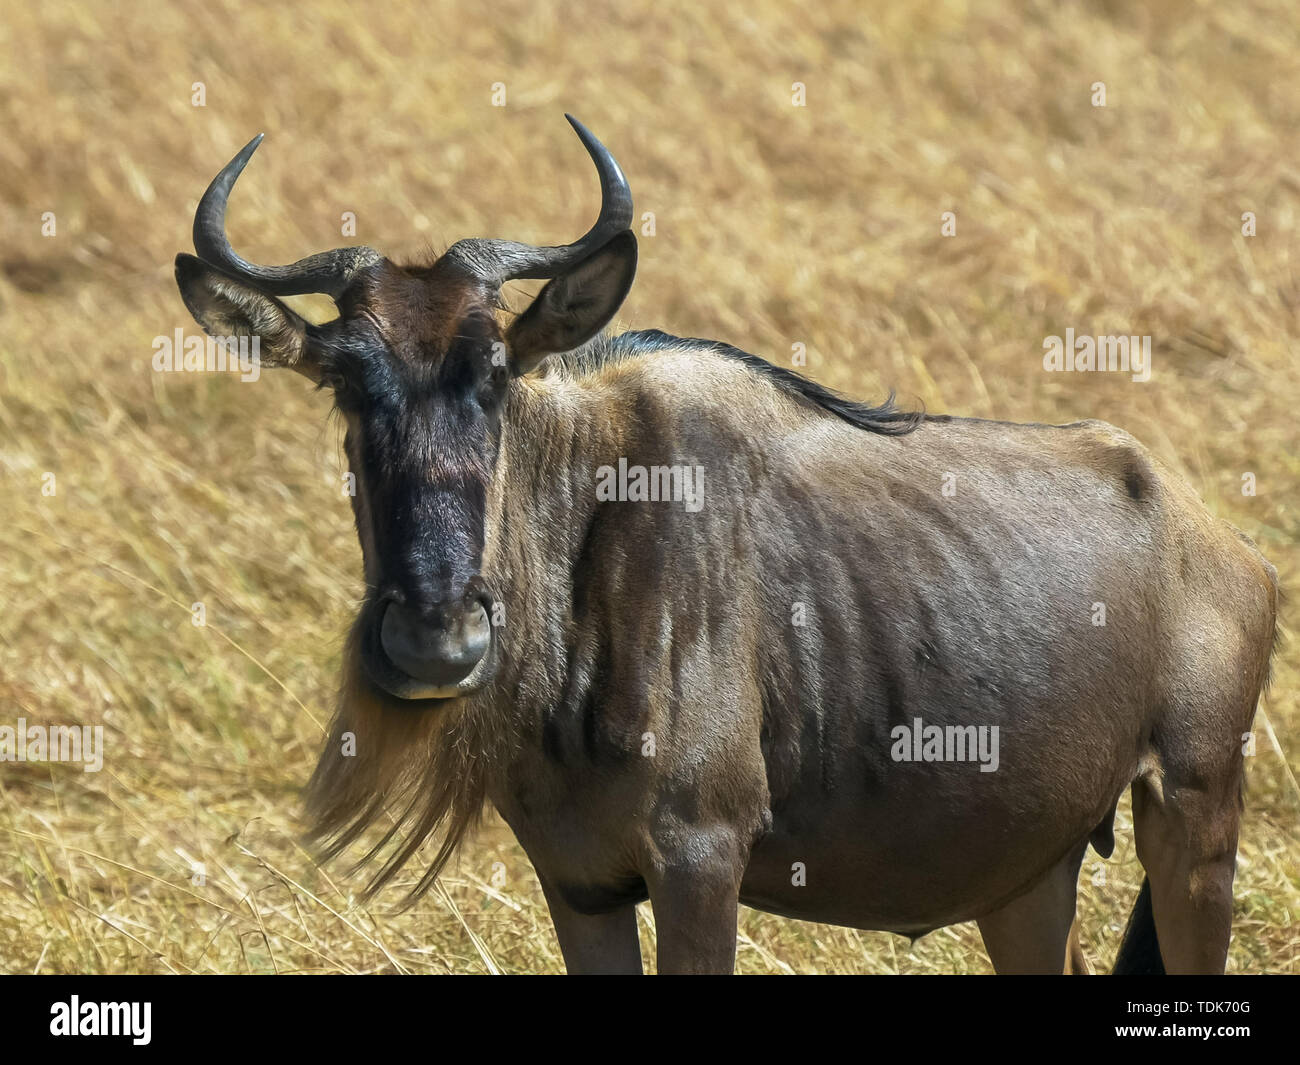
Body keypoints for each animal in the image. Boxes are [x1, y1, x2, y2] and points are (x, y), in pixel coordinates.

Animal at [175, 116, 1278, 974]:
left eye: (494, 373)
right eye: (346, 382)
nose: (436, 641)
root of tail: (1225, 546)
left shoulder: (699, 859)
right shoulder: (579, 882)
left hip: (1194, 819)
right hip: (1029, 874)